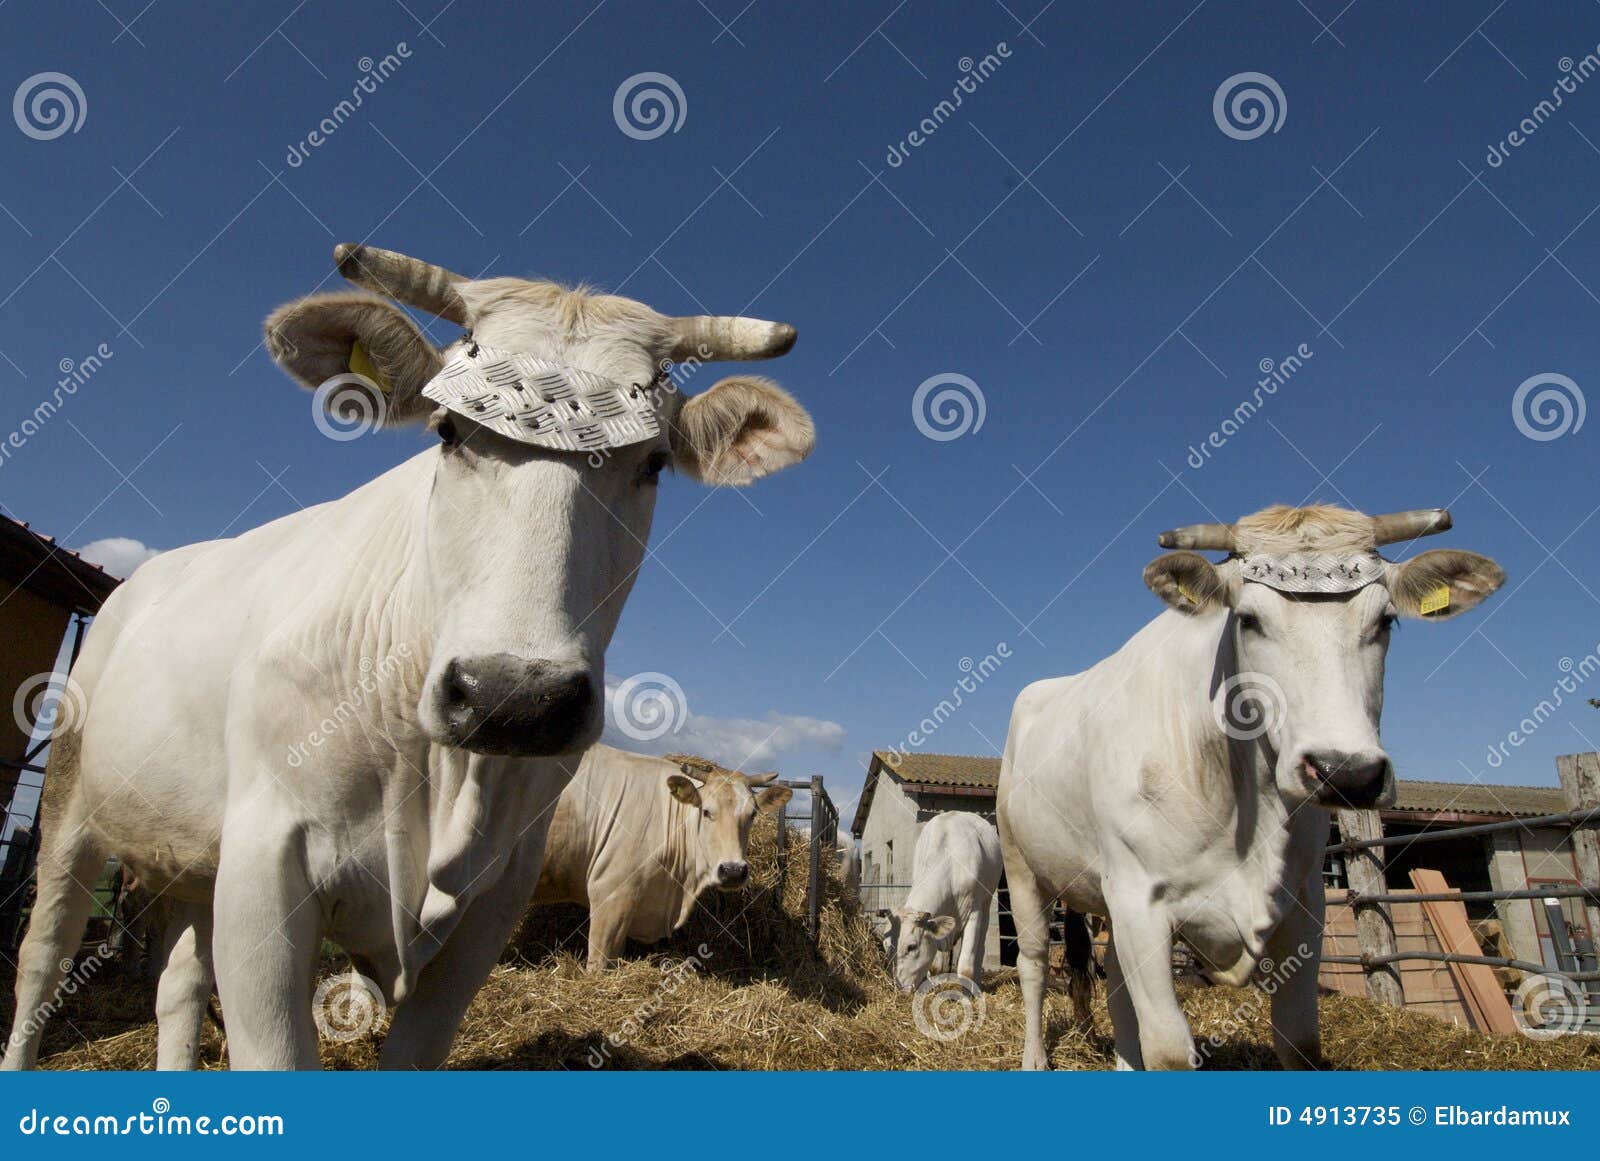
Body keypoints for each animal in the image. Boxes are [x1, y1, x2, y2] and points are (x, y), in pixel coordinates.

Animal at [870, 812, 1002, 992]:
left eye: (911, 946)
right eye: (885, 945)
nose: (898, 988)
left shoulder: (974, 910)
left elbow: (966, 966)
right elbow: (935, 966)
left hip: (987, 901)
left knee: (980, 946)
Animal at [998, 505, 1504, 1070]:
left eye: (1385, 620)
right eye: (1248, 620)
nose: (1345, 772)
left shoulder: (1305, 905)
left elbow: (1299, 1042)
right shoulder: (1138, 899)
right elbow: (1169, 1049)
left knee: (1116, 990)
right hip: (1024, 870)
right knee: (1035, 965)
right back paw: (1035, 1057)